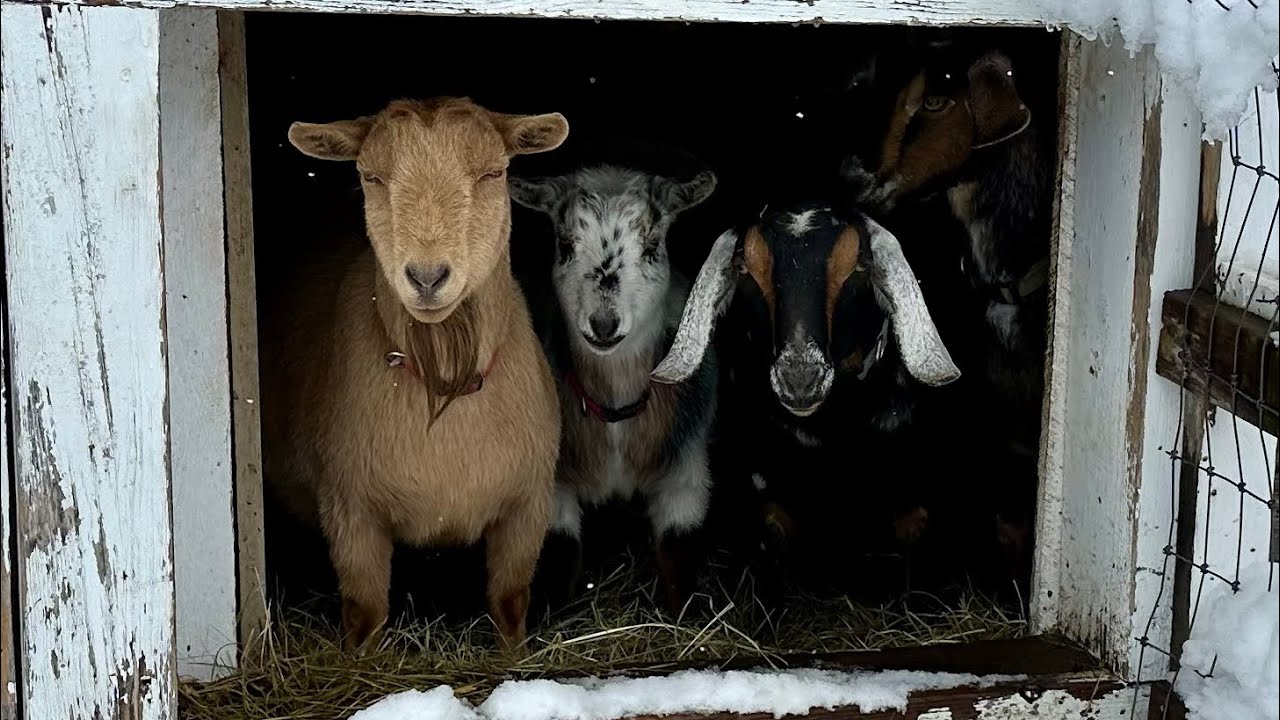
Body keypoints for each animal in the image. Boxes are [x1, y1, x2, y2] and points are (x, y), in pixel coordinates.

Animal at [261, 97, 569, 652]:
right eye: (371, 176)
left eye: (493, 173)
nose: (428, 277)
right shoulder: (350, 510)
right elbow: (365, 612)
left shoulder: (528, 507)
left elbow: (510, 602)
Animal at [510, 164, 719, 615]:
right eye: (565, 244)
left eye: (653, 244)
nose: (603, 325)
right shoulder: (552, 481)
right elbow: (559, 552)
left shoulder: (685, 473)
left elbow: (679, 552)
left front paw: (688, 617)